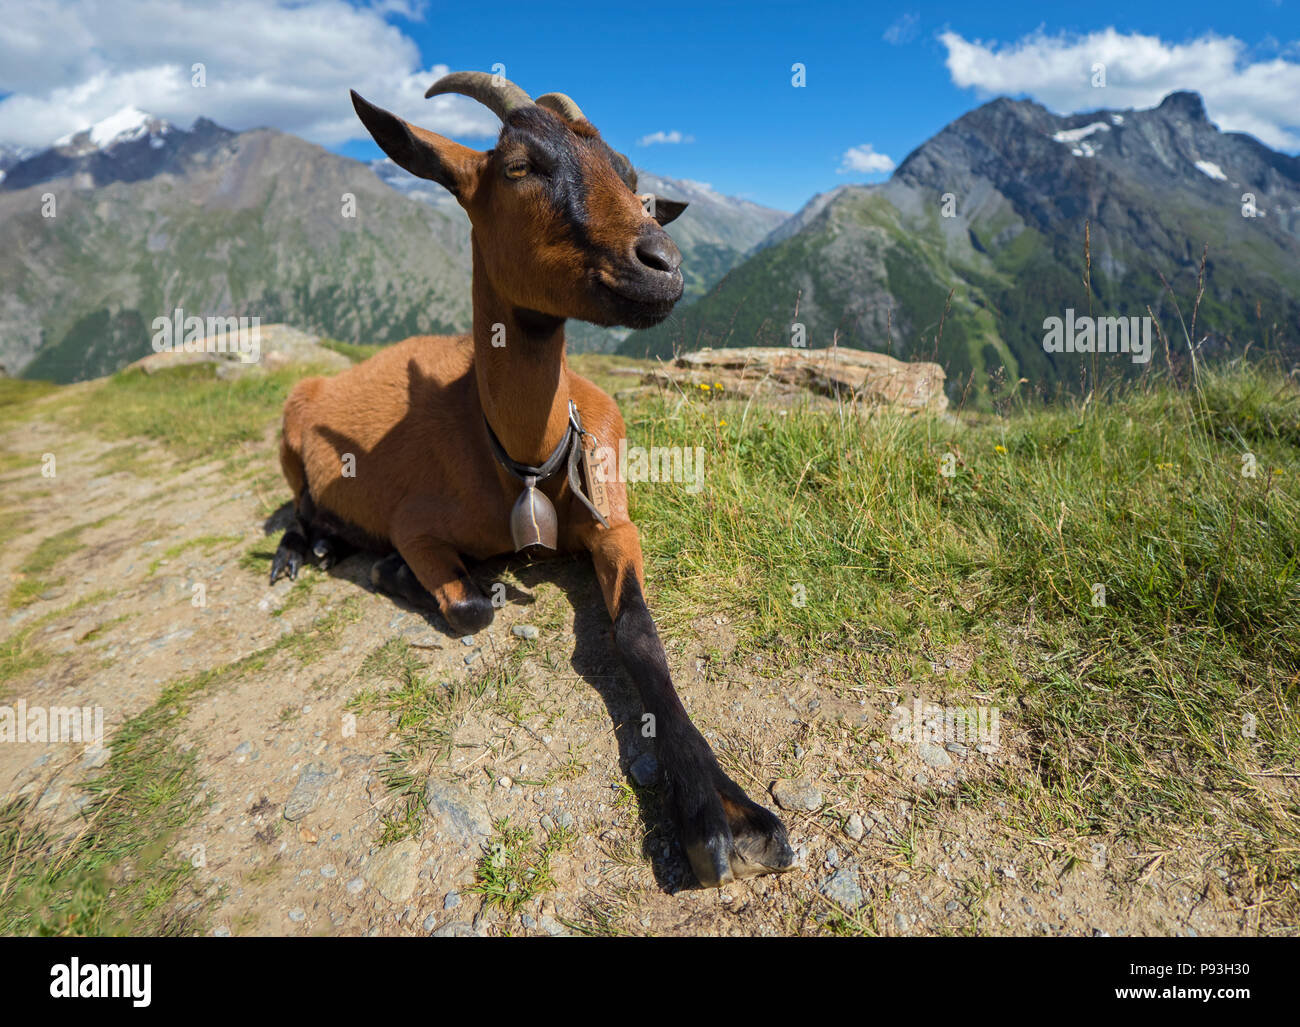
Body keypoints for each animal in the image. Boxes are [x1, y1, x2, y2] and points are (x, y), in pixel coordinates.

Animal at [272, 72, 794, 888]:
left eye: (636, 180)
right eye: (518, 166)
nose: (664, 263)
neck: (526, 463)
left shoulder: (614, 521)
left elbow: (636, 632)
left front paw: (726, 811)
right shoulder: (416, 523)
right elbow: (468, 608)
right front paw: (403, 573)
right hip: (288, 435)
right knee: (297, 509)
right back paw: (305, 551)